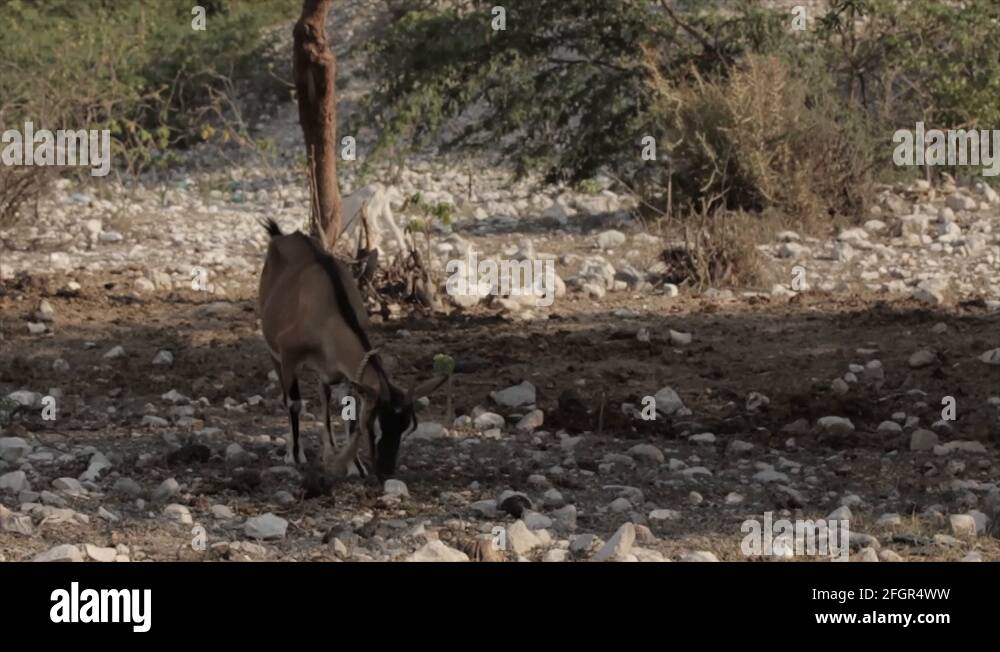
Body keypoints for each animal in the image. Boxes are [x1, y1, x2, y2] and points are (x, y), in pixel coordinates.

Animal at [257, 218, 446, 480]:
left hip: (324, 370)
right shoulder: (289, 354)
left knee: (324, 393)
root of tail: (280, 236)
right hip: (273, 350)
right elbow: (294, 402)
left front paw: (354, 465)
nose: (385, 471)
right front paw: (295, 455)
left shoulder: (346, 372)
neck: (328, 314)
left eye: (405, 428)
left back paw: (330, 447)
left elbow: (349, 412)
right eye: (376, 424)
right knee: (288, 397)